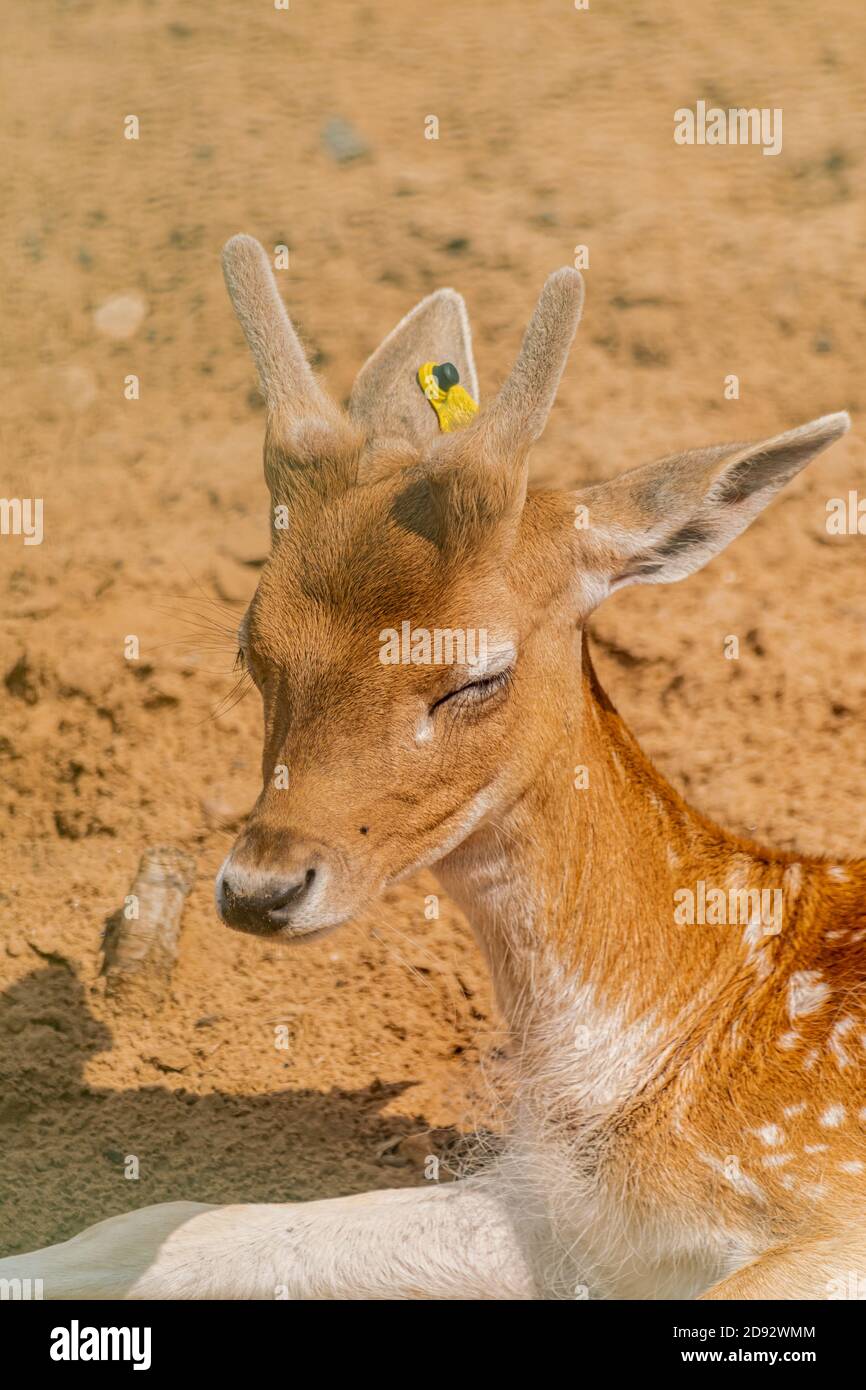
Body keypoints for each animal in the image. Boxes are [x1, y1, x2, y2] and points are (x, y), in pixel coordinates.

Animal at [1, 235, 861, 1301]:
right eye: (252, 646)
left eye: (478, 673)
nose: (259, 889)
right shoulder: (567, 1224)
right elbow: (177, 1221)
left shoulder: (820, 1195)